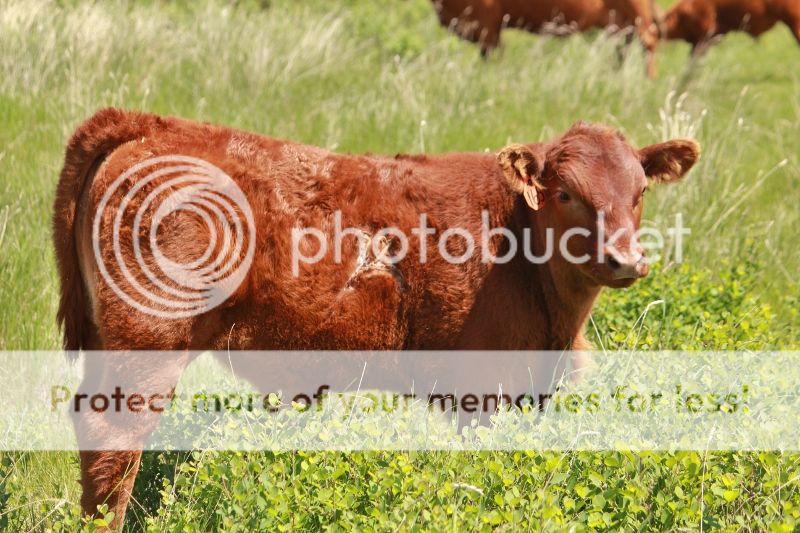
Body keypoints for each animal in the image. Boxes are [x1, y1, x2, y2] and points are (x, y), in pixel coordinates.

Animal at [53, 108, 699, 528]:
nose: (625, 259)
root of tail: (149, 124)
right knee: (114, 438)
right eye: (565, 192)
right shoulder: (480, 390)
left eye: (640, 191)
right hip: (149, 342)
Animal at [430, 0, 661, 77]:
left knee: (648, 41)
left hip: (637, 15)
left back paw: (647, 79)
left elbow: (491, 57)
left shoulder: (487, 23)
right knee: (624, 46)